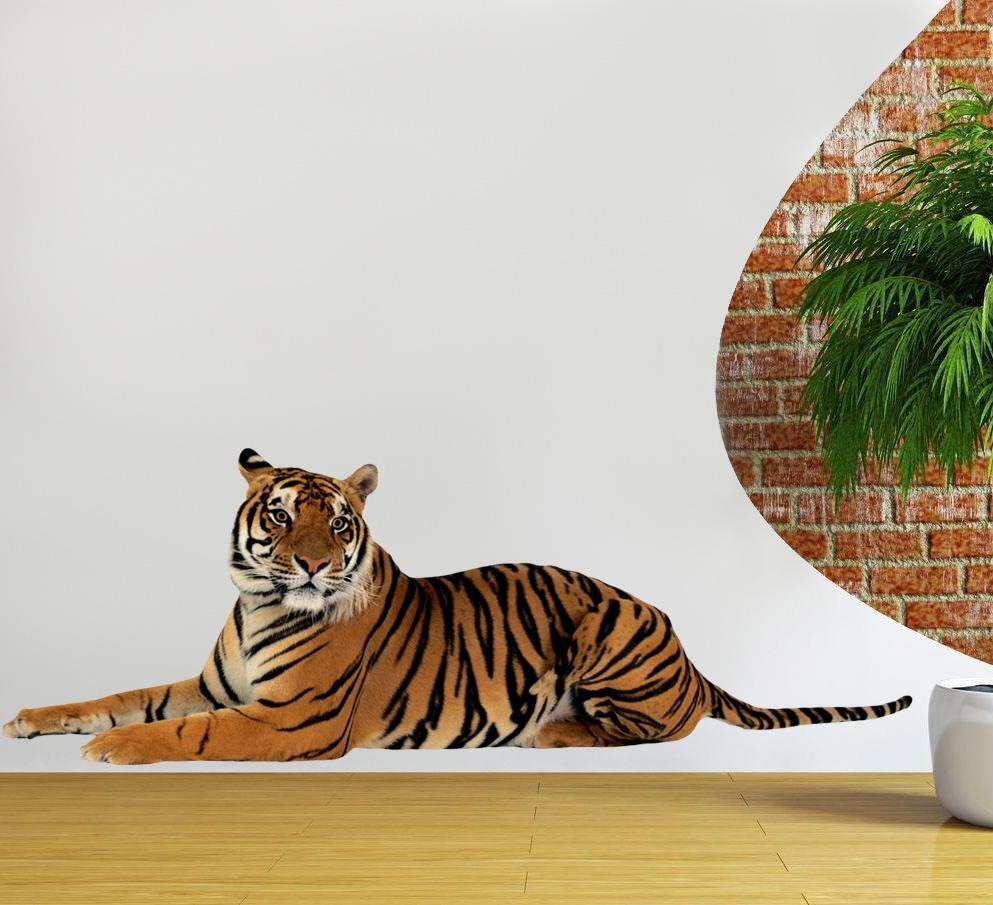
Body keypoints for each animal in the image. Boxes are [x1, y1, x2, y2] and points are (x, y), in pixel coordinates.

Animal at [3, 449, 912, 764]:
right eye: (280, 515)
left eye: (338, 522)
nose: (314, 562)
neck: (260, 604)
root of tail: (689, 654)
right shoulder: (218, 685)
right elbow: (121, 694)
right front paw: (33, 718)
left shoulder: (288, 720)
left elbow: (185, 730)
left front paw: (112, 749)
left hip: (606, 624)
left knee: (662, 727)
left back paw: (553, 730)